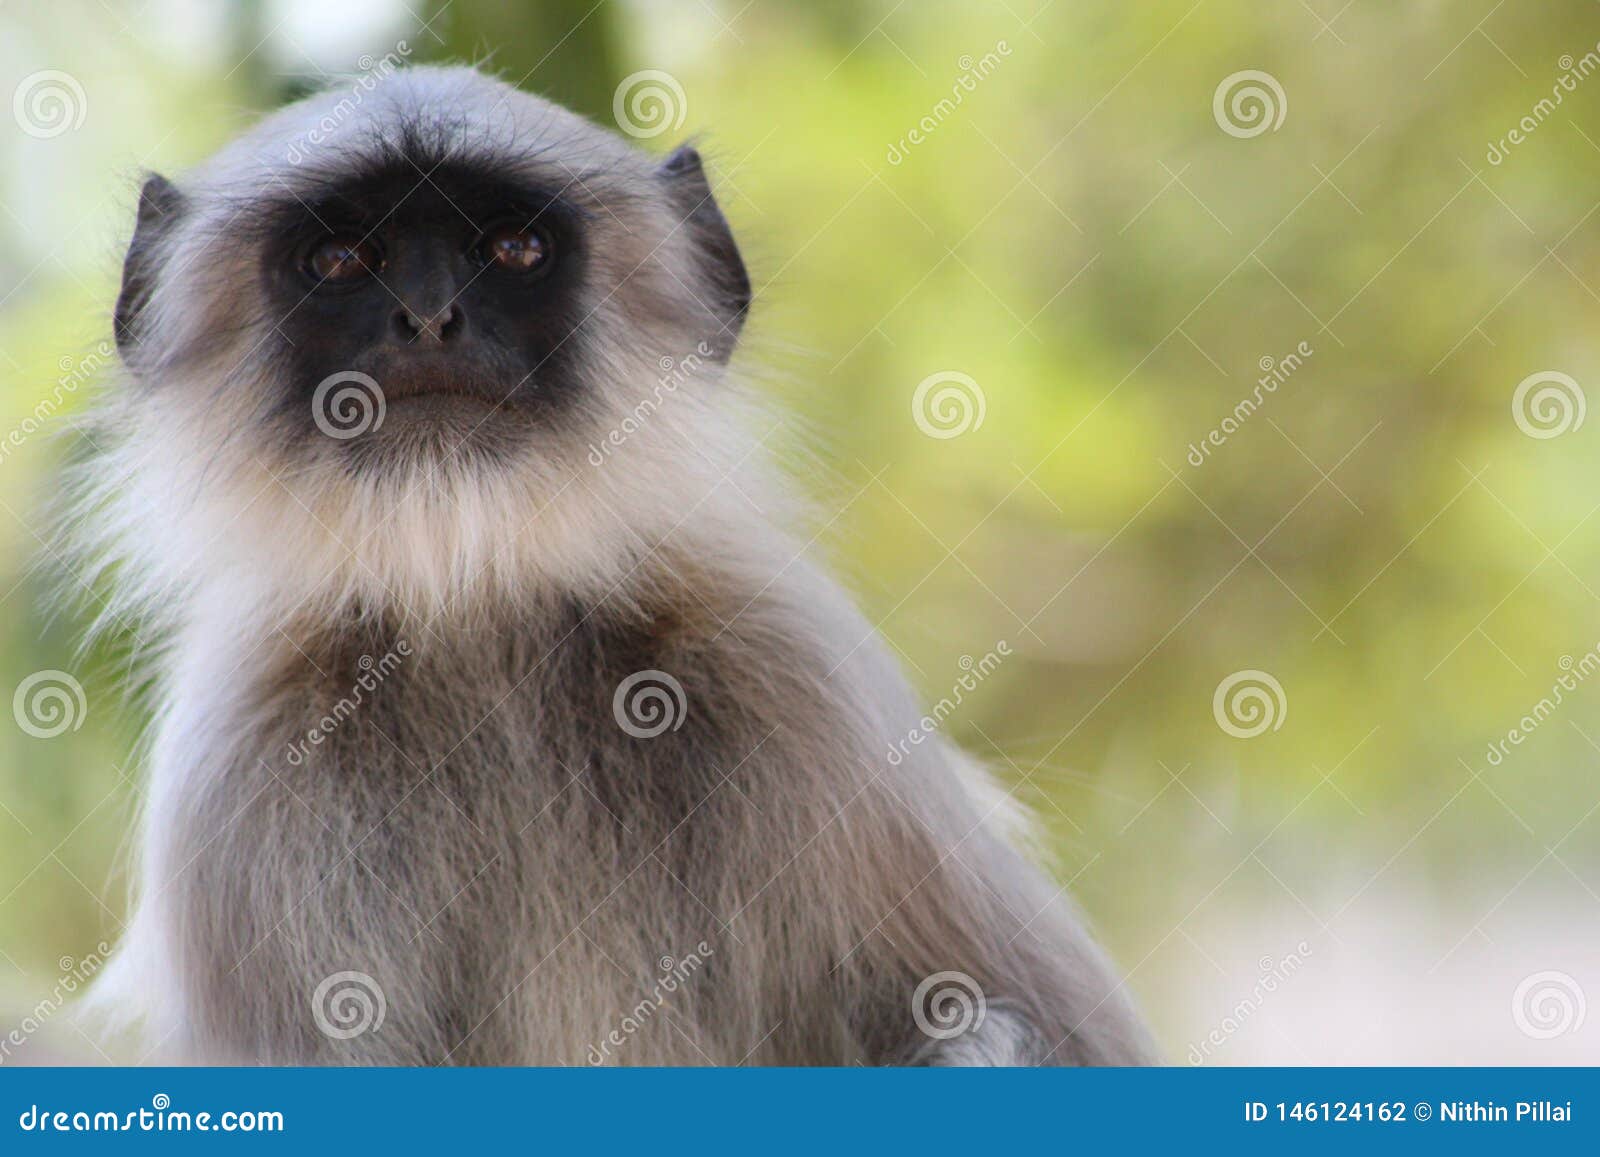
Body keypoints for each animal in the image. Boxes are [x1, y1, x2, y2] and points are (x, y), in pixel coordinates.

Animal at [69, 65, 1156, 1066]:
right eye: (340, 259)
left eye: (513, 249)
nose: (428, 317)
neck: (480, 625)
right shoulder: (237, 775)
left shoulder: (806, 681)